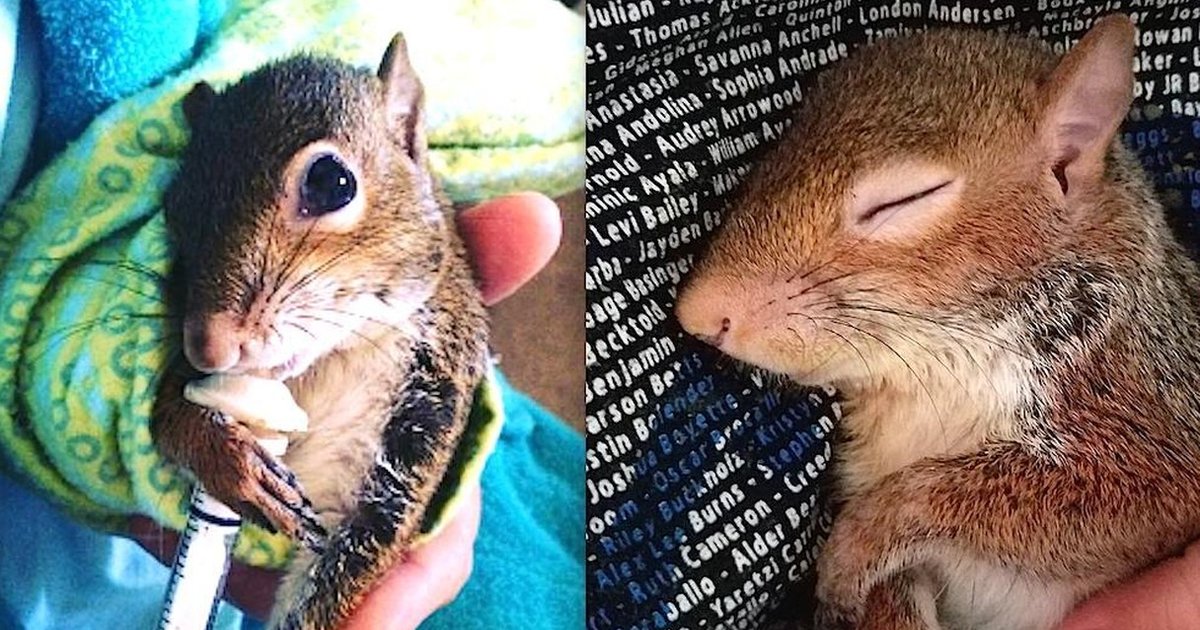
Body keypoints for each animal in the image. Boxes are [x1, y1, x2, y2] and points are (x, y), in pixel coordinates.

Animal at [150, 35, 489, 629]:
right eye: (172, 210)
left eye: (332, 182)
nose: (209, 346)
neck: (335, 357)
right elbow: (167, 416)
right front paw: (230, 461)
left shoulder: (420, 419)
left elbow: (340, 571)